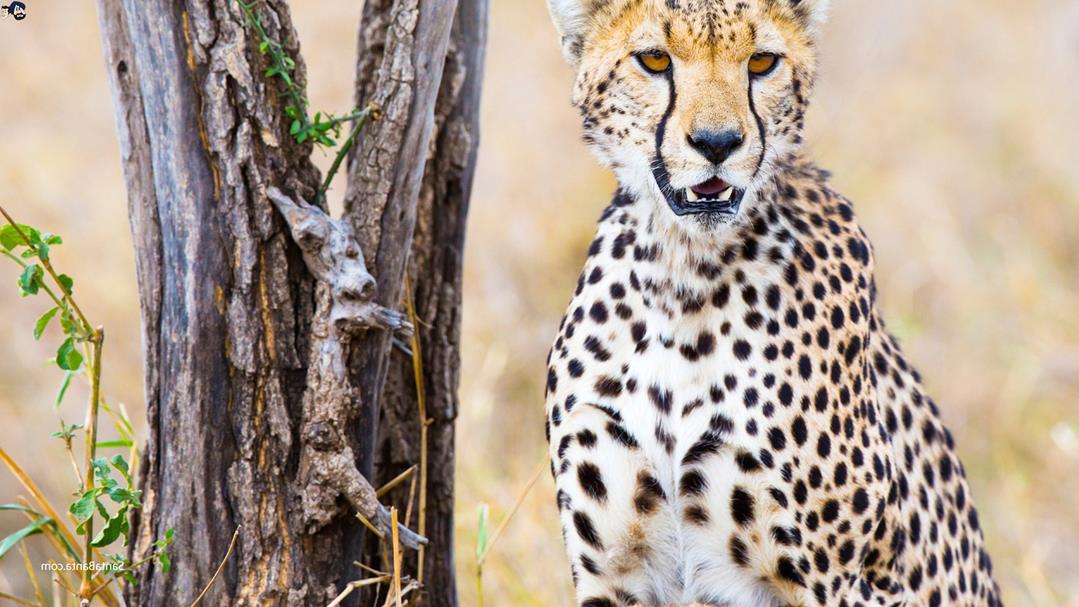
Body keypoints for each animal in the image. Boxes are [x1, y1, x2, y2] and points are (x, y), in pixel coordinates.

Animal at [540, 1, 1004, 606]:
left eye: (762, 62)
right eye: (654, 60)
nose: (717, 143)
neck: (682, 273)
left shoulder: (841, 583)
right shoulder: (615, 572)